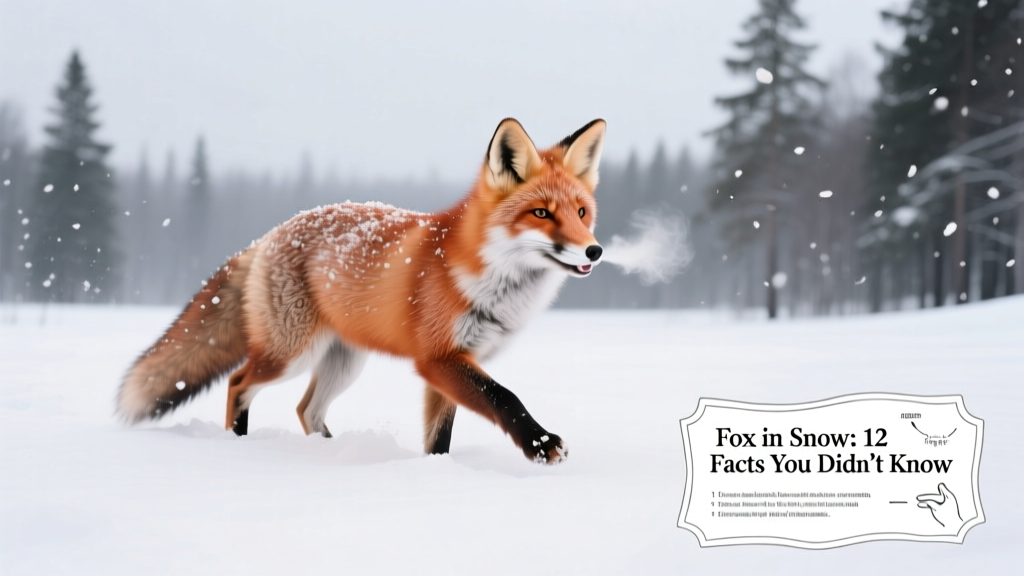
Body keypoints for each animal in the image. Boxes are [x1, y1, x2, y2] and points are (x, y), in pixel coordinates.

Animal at [117, 118, 607, 464]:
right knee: (239, 383)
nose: (595, 250)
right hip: (290, 355)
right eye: (541, 213)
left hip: (343, 363)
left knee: (306, 410)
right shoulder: (440, 359)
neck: (490, 282)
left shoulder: (450, 366)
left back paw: (330, 452)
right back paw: (239, 443)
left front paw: (437, 474)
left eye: (582, 212)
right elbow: (505, 396)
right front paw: (540, 444)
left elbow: (439, 439)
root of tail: (270, 234)